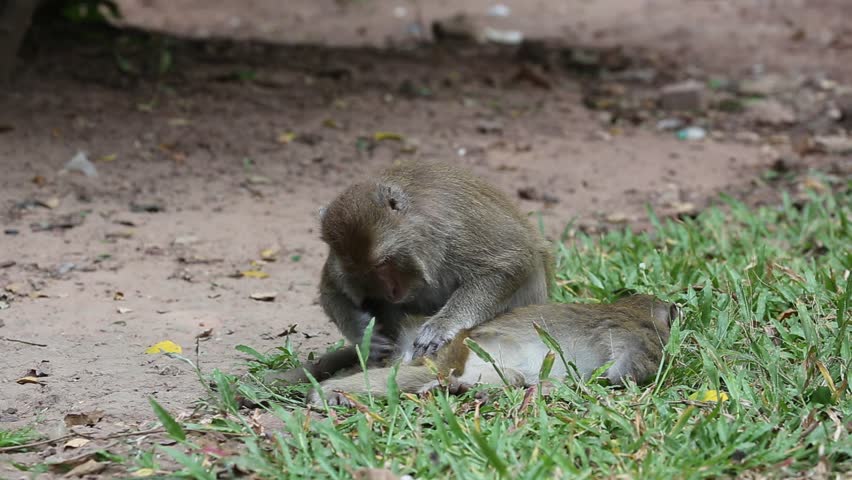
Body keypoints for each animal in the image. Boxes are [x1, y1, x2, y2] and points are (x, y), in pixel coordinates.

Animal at [265, 160, 553, 386]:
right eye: (363, 272)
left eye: (382, 263)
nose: (390, 291)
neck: (418, 226)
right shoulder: (339, 264)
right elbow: (331, 291)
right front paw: (366, 337)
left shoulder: (453, 228)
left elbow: (512, 260)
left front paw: (441, 326)